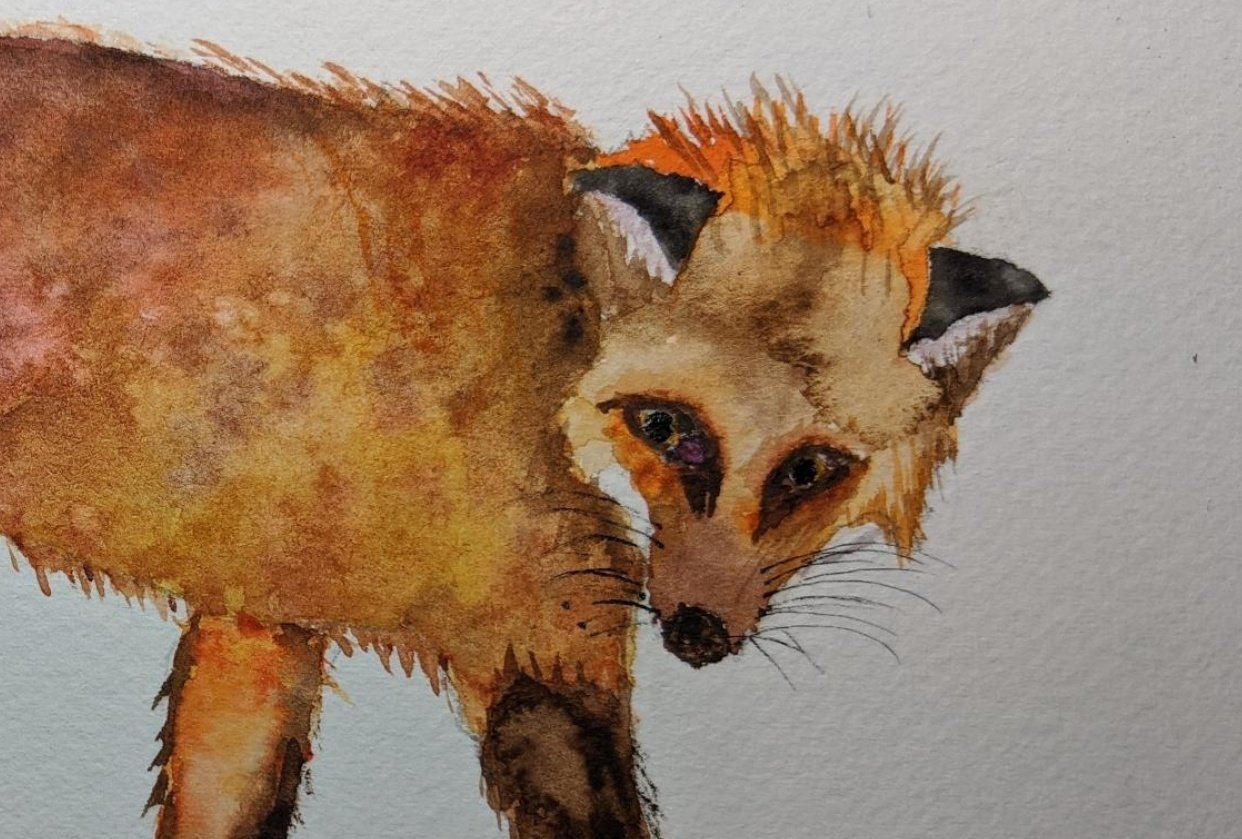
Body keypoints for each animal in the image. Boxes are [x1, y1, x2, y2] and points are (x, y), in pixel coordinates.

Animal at [0, 25, 1046, 839]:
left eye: (811, 470)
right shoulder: (518, 627)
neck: (549, 336)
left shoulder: (274, 606)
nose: (698, 632)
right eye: (666, 426)